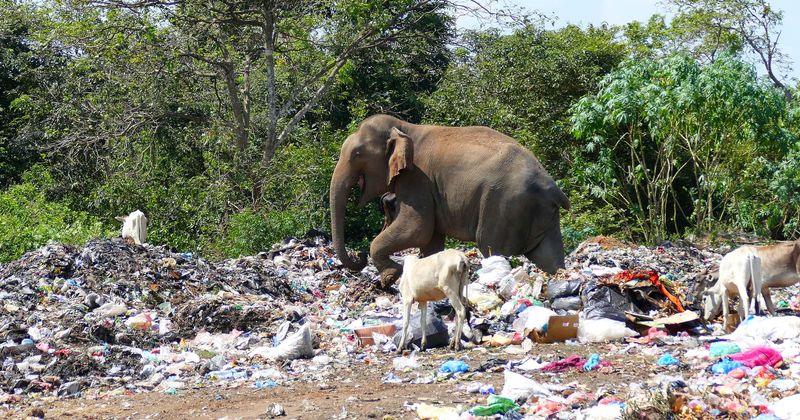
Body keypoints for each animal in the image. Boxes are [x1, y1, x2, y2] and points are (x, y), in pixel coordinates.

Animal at [329, 114, 570, 288]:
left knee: (491, 246)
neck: (405, 127)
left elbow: (418, 228)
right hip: (540, 213)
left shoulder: (417, 178)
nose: (358, 256)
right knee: (548, 255)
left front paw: (389, 277)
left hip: (505, 206)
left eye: (357, 154)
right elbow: (431, 240)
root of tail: (555, 189)